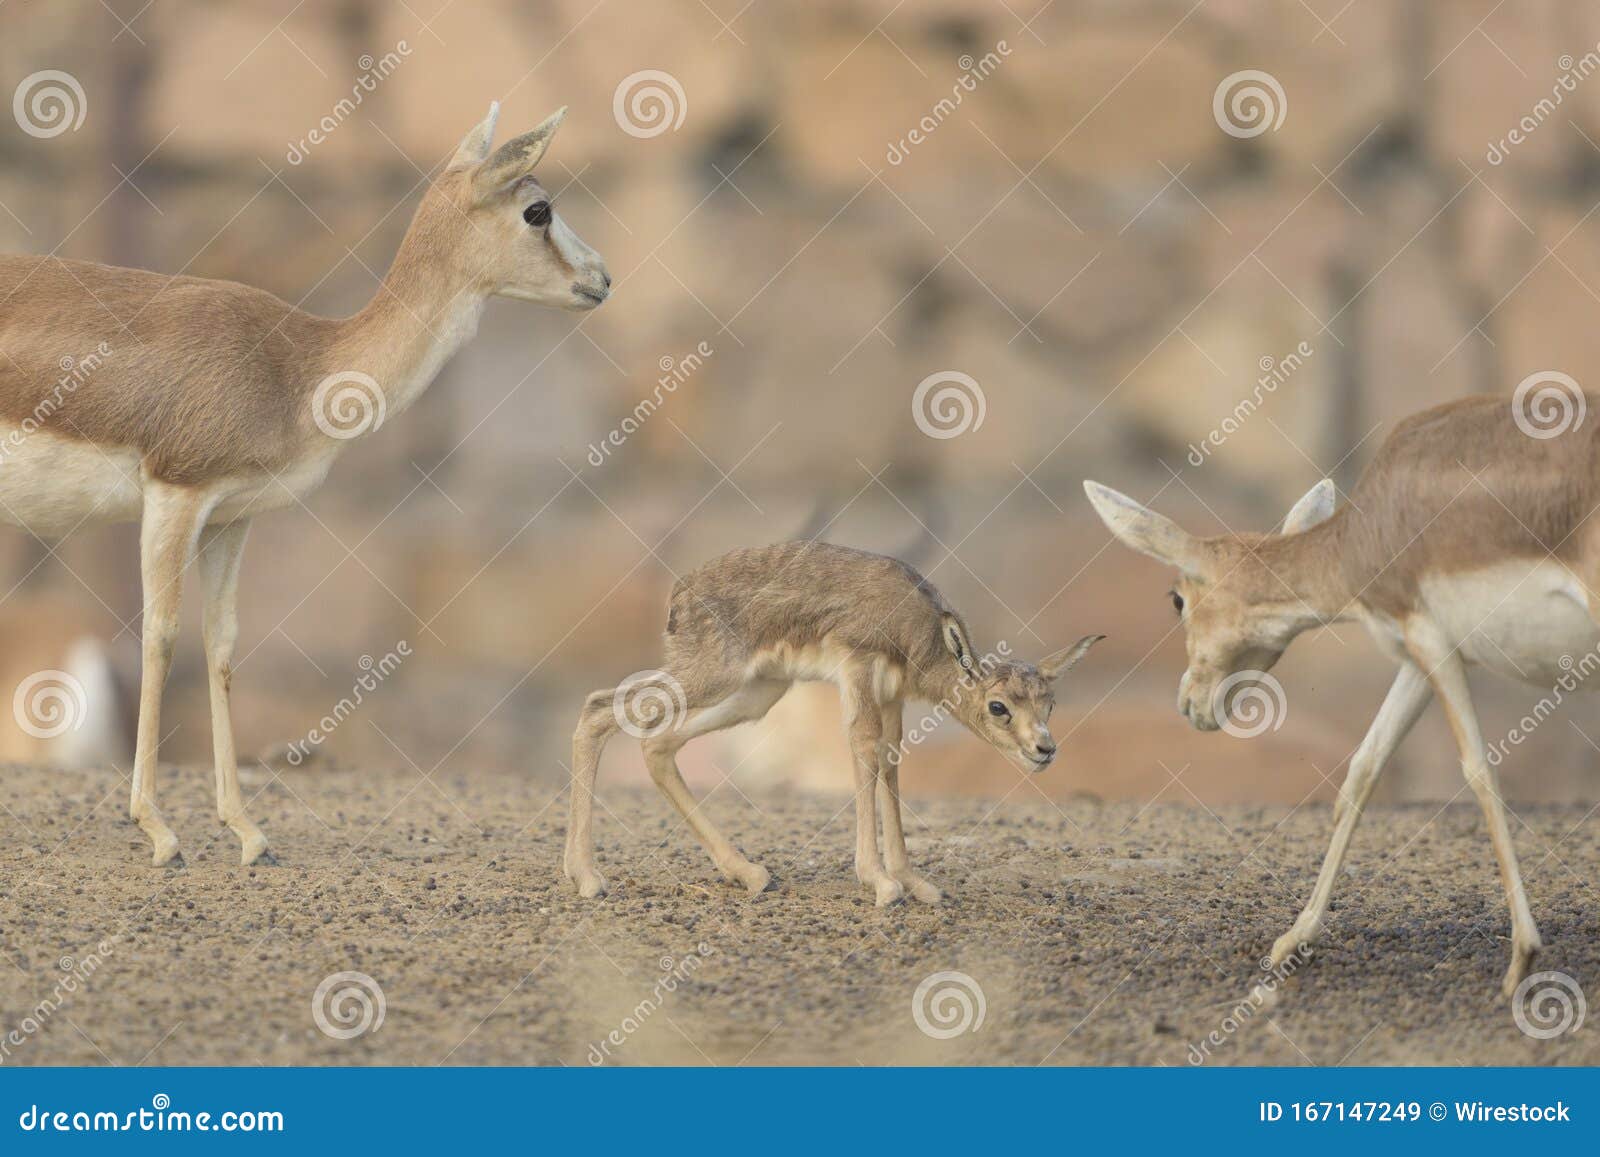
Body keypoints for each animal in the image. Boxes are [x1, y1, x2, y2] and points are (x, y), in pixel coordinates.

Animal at [0, 102, 609, 867]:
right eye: (537, 209)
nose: (602, 278)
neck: (302, 367)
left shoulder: (230, 517)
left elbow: (222, 643)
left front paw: (247, 830)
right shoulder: (174, 494)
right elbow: (161, 636)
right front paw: (159, 830)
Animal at [564, 539, 1103, 905]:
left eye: (1050, 703)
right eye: (998, 706)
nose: (1044, 750)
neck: (917, 625)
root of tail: (679, 596)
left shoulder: (892, 698)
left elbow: (889, 762)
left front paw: (913, 880)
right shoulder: (857, 670)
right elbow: (862, 747)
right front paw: (880, 882)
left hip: (757, 695)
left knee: (656, 745)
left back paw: (748, 872)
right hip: (709, 678)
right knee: (597, 709)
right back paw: (587, 878)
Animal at [1082, 390, 1600, 997]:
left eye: (1176, 599)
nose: (1190, 702)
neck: (1363, 534)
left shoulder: (1429, 638)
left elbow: (1478, 771)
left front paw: (1522, 958)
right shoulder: (1418, 655)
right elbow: (1362, 769)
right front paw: (1292, 940)